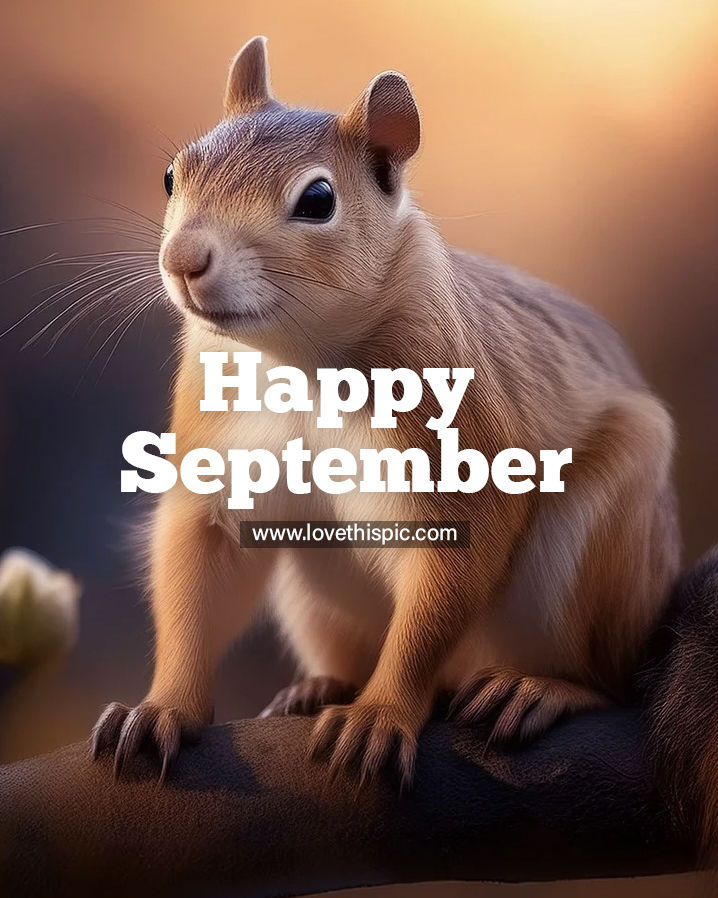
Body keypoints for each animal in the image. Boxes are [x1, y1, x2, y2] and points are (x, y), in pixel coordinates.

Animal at [92, 35, 686, 801]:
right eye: (172, 174)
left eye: (318, 200)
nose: (183, 259)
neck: (298, 361)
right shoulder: (213, 458)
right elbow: (195, 576)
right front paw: (162, 708)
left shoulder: (460, 453)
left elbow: (436, 601)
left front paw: (379, 717)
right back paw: (319, 687)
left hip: (603, 554)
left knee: (605, 679)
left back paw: (537, 688)